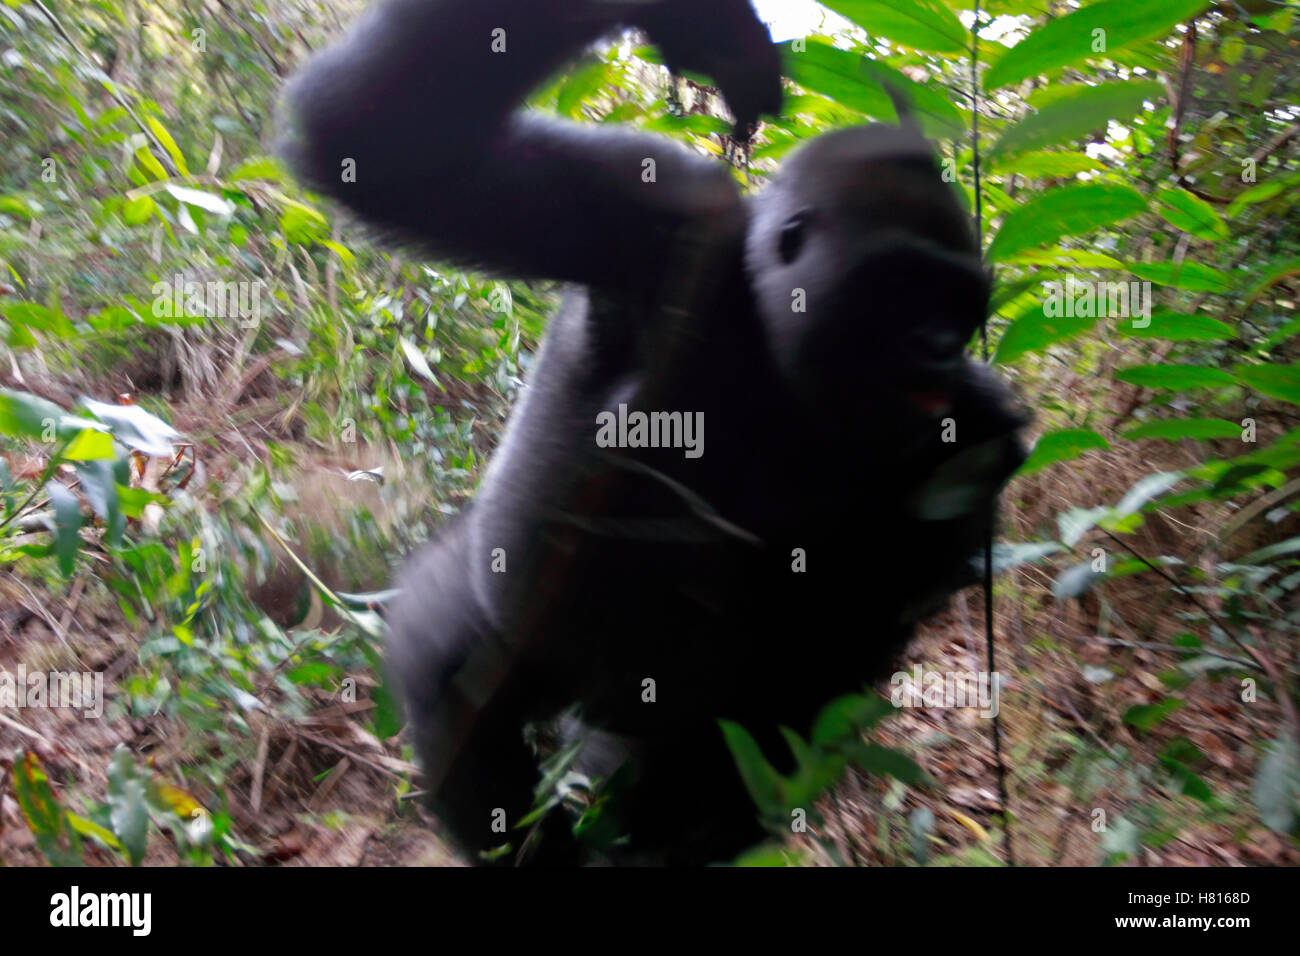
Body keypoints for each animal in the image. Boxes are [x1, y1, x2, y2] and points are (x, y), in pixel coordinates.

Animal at [281, 0, 1027, 864]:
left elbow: (871, 611)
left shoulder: (973, 429)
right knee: (455, 671)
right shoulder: (667, 213)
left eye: (959, 303)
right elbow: (390, 147)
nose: (939, 347)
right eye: (904, 286)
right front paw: (701, 25)